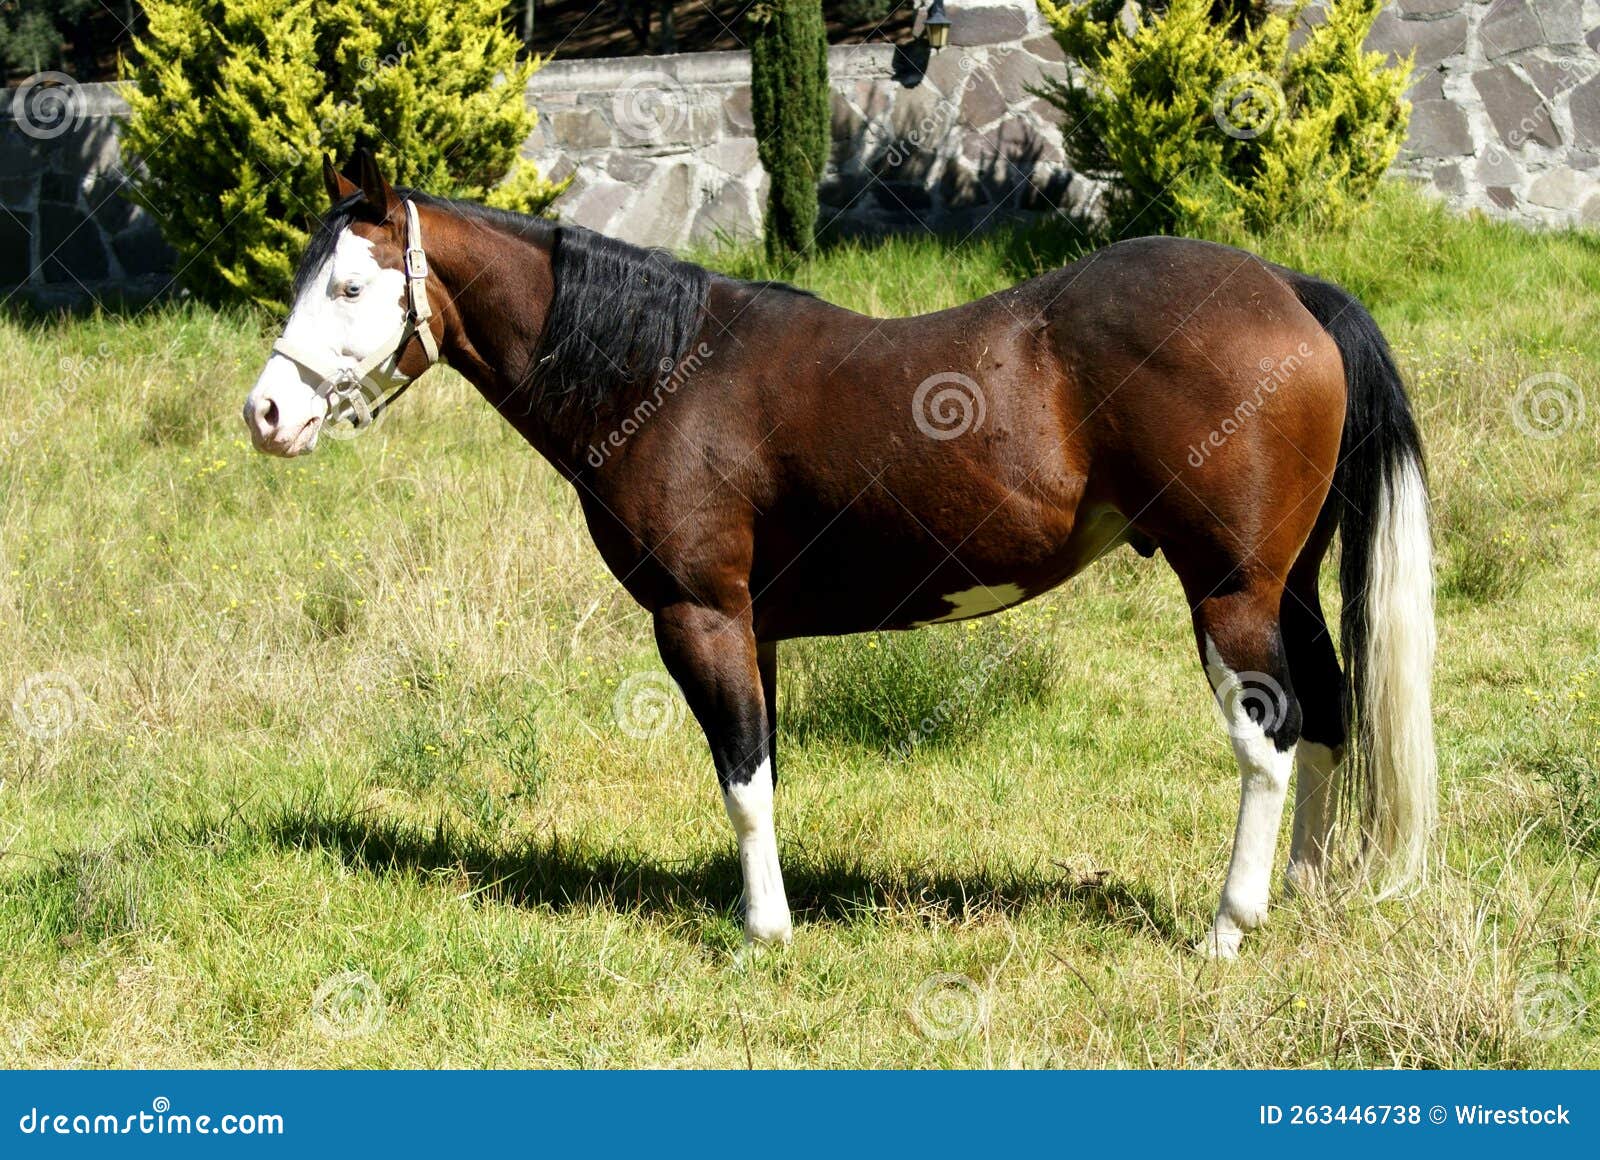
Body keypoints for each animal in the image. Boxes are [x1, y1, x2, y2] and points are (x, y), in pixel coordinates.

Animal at [243, 150, 1435, 957]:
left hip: (1229, 593)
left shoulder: (700, 616)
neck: (660, 374)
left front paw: (764, 933)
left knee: (1267, 741)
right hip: (1286, 587)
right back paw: (1309, 890)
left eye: (349, 286)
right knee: (1328, 719)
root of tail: (1291, 290)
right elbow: (763, 767)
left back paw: (1230, 924)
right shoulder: (753, 626)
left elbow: (740, 776)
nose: (265, 414)